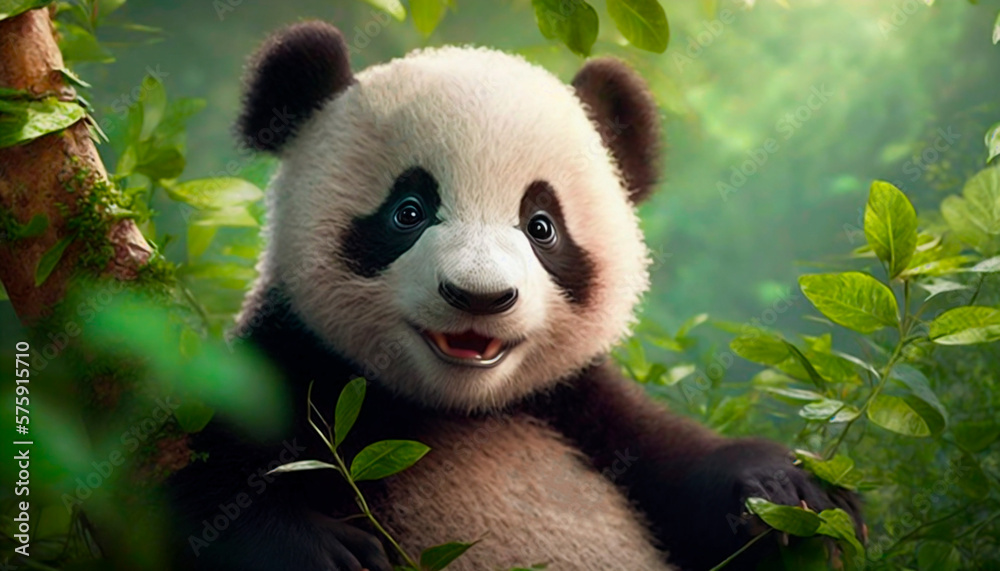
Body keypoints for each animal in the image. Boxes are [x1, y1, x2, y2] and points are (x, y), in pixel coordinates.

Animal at [168, 21, 863, 571]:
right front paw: (321, 551)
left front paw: (787, 488)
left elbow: (679, 467)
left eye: (541, 226)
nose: (479, 296)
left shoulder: (576, 404)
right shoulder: (291, 366)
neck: (456, 411)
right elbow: (193, 485)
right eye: (408, 212)